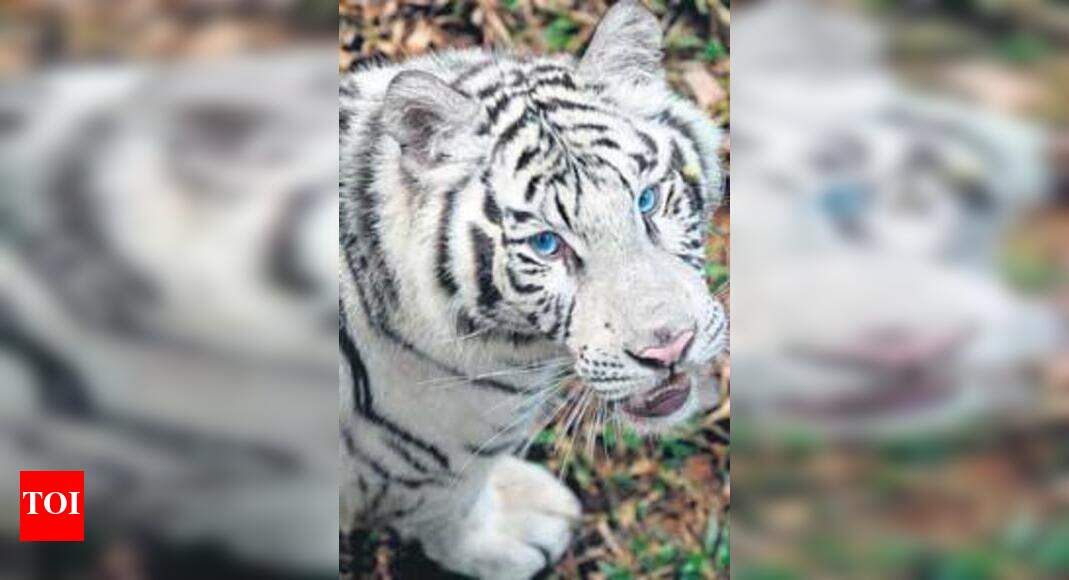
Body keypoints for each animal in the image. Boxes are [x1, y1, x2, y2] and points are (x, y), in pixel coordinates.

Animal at [339, 2, 727, 578]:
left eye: (647, 201)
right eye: (548, 244)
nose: (669, 349)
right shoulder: (427, 461)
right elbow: (453, 507)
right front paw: (513, 532)